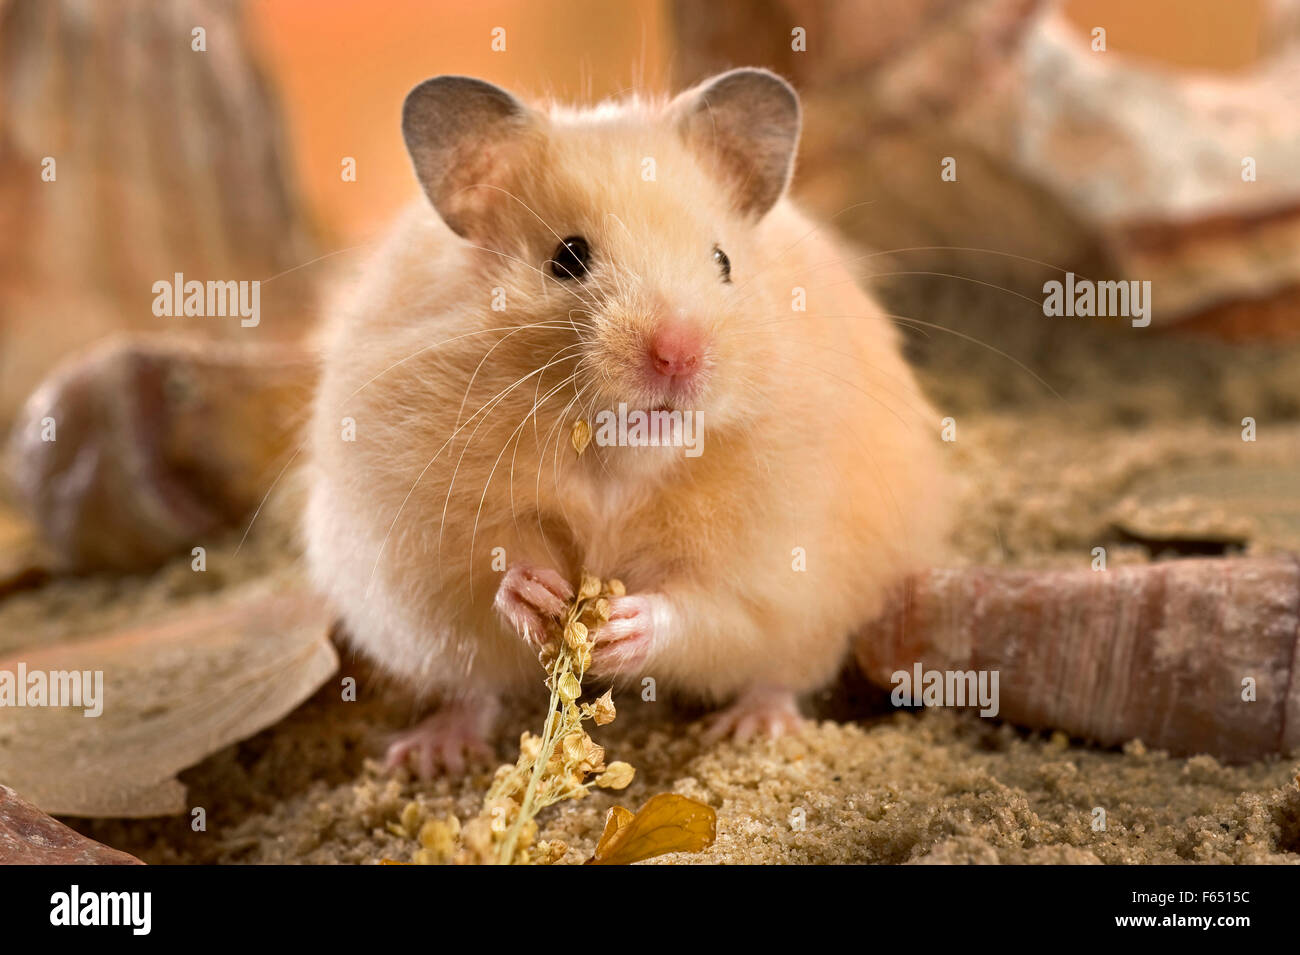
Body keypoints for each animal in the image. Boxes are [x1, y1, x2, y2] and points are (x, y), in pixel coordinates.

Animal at [303, 69, 951, 777]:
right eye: (567, 258)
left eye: (723, 261)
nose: (678, 353)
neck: (618, 464)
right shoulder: (424, 539)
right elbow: (490, 568)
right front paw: (537, 594)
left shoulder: (771, 562)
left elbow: (703, 607)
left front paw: (626, 625)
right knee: (471, 692)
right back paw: (430, 755)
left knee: (776, 674)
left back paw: (755, 730)